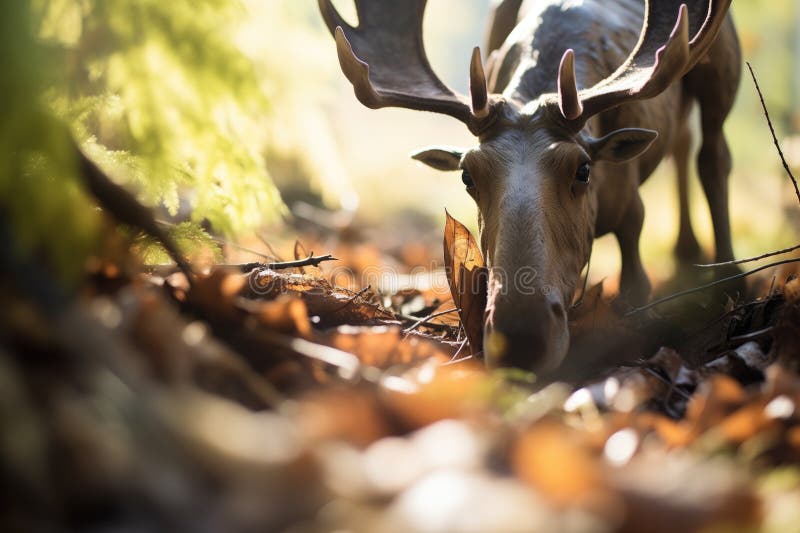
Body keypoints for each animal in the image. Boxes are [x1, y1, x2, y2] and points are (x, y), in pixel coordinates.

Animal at [318, 0, 741, 373]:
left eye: (583, 169)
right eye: (467, 174)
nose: (521, 337)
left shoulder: (631, 206)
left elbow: (636, 283)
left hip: (721, 66)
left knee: (712, 154)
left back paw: (728, 278)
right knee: (684, 139)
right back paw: (687, 249)